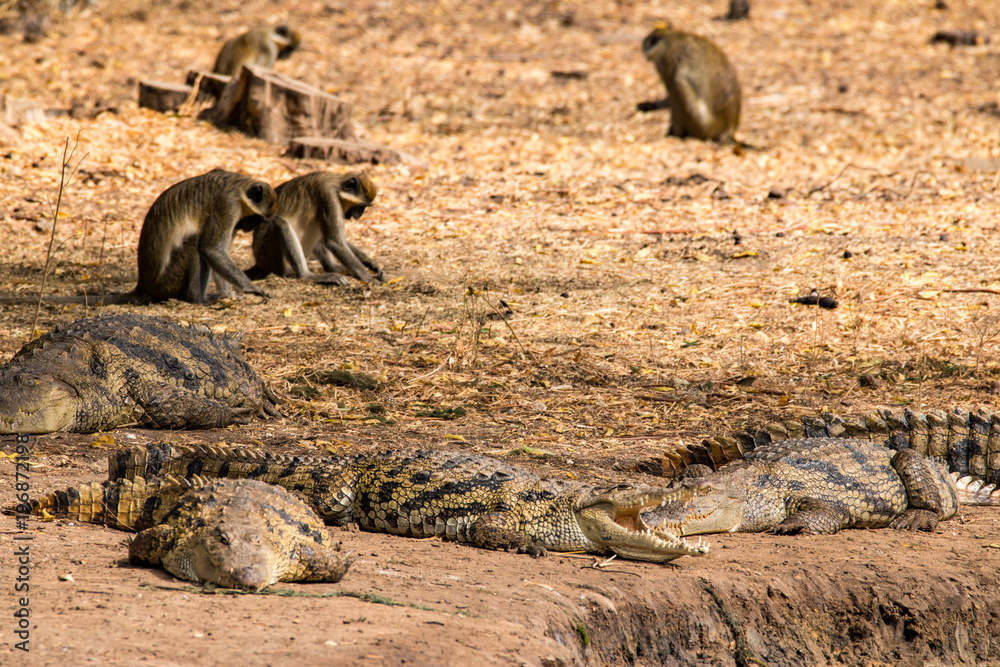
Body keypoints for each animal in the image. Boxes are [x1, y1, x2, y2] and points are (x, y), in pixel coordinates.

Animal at [0, 170, 276, 306]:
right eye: (257, 220)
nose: (247, 229)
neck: (239, 186)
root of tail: (144, 285)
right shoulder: (227, 205)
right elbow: (210, 249)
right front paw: (251, 289)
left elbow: (218, 250)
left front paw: (231, 294)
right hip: (167, 280)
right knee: (193, 245)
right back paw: (198, 300)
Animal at [245, 172, 384, 287]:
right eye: (361, 206)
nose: (358, 216)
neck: (337, 186)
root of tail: (258, 261)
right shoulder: (327, 195)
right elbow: (334, 241)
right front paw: (368, 278)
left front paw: (369, 262)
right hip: (267, 254)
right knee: (280, 223)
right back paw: (307, 275)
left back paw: (333, 267)